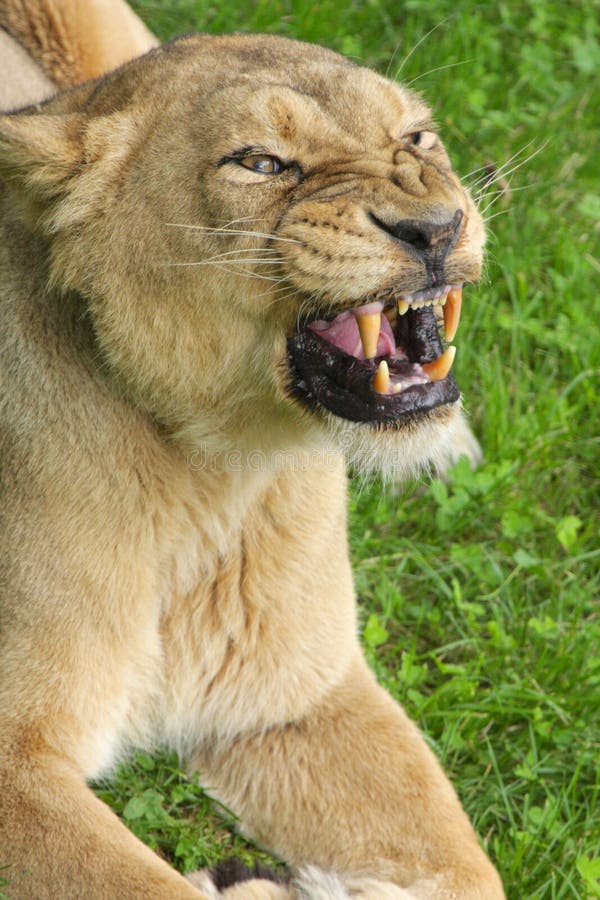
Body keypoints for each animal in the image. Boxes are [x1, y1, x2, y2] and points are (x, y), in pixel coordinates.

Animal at [0, 2, 502, 898]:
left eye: (417, 138)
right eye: (261, 162)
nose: (439, 228)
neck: (207, 477)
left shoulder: (303, 695)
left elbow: (470, 874)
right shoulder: (13, 762)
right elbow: (140, 887)